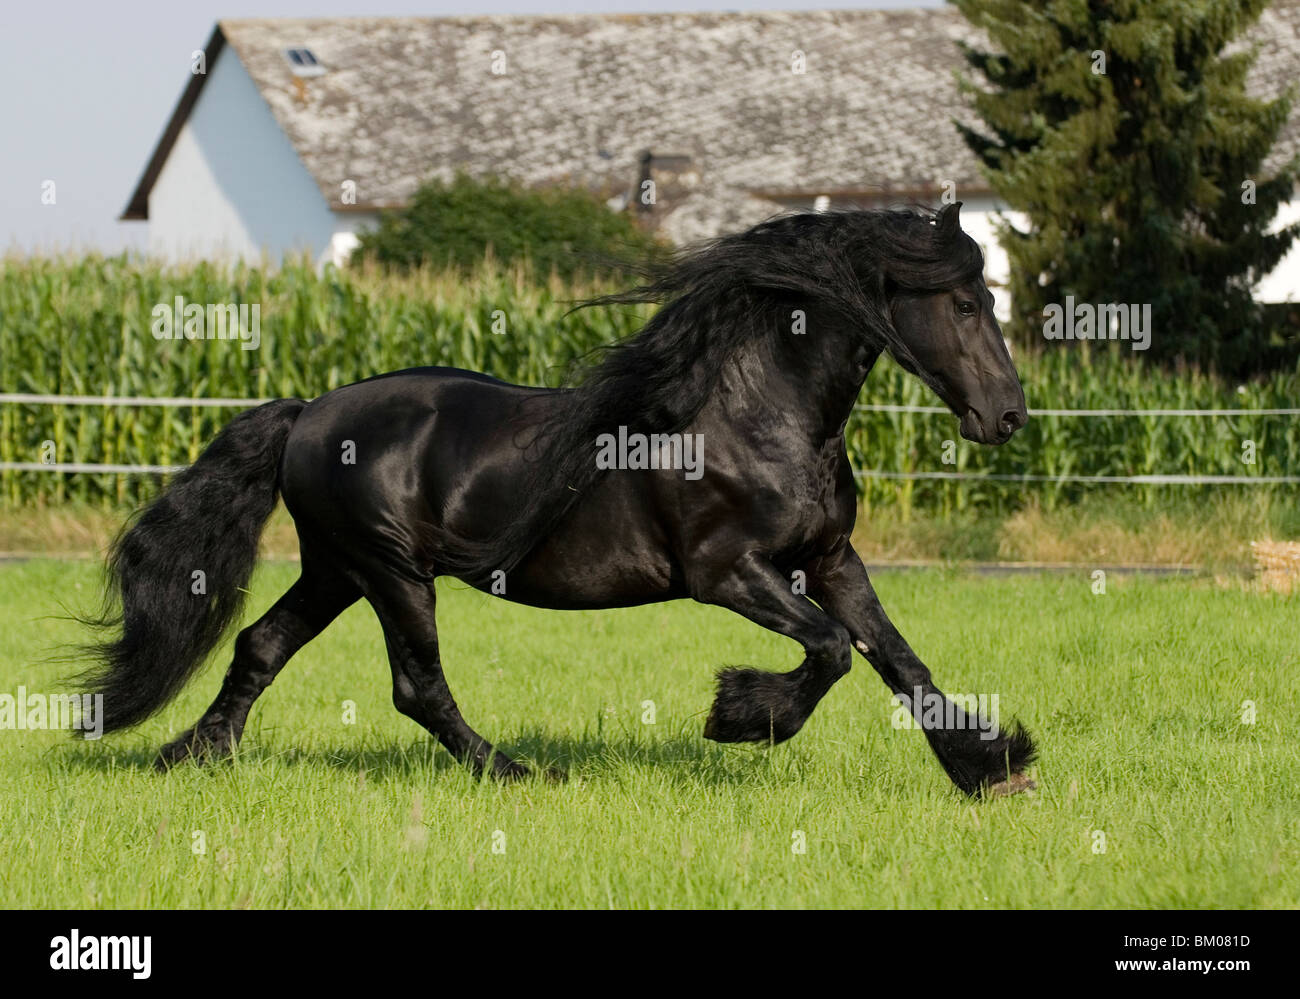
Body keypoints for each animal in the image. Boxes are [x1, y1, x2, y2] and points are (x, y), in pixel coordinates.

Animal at [79, 202, 1037, 797]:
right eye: (960, 301)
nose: (1009, 415)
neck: (761, 413)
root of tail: (307, 412)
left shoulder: (832, 560)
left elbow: (903, 663)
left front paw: (995, 767)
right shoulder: (728, 572)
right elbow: (835, 651)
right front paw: (738, 717)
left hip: (339, 569)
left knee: (262, 644)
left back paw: (192, 755)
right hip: (391, 572)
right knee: (416, 686)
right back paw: (517, 773)